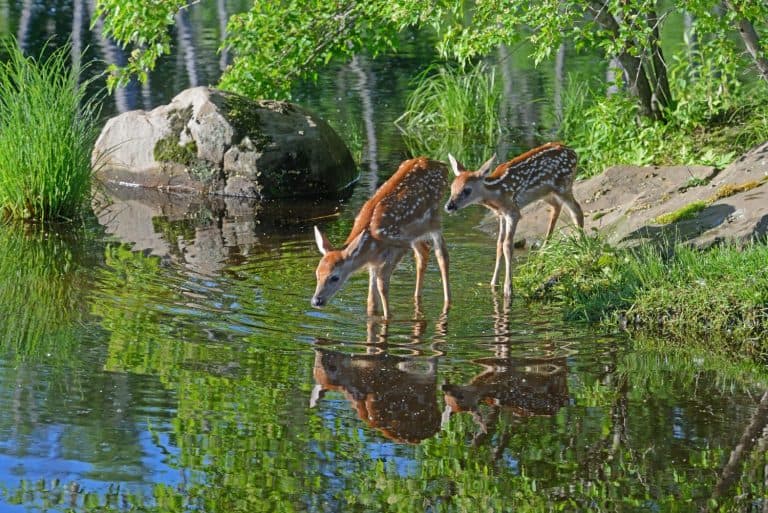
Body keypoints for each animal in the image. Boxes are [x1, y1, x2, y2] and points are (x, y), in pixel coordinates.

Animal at [312, 157, 451, 319]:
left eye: (335, 277)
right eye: (317, 274)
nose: (316, 300)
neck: (371, 243)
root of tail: (442, 165)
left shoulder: (399, 246)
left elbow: (382, 284)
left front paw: (387, 317)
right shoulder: (374, 262)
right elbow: (371, 300)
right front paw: (374, 314)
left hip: (434, 218)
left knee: (442, 255)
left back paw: (447, 301)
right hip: (416, 233)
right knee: (423, 253)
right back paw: (417, 298)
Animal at [444, 142, 584, 296]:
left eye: (467, 190)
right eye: (452, 187)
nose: (449, 206)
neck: (496, 194)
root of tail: (573, 152)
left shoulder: (513, 212)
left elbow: (507, 245)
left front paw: (508, 289)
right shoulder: (501, 215)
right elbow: (499, 244)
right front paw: (493, 283)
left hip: (563, 186)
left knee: (577, 210)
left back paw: (582, 247)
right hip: (545, 192)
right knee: (557, 206)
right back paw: (543, 254)